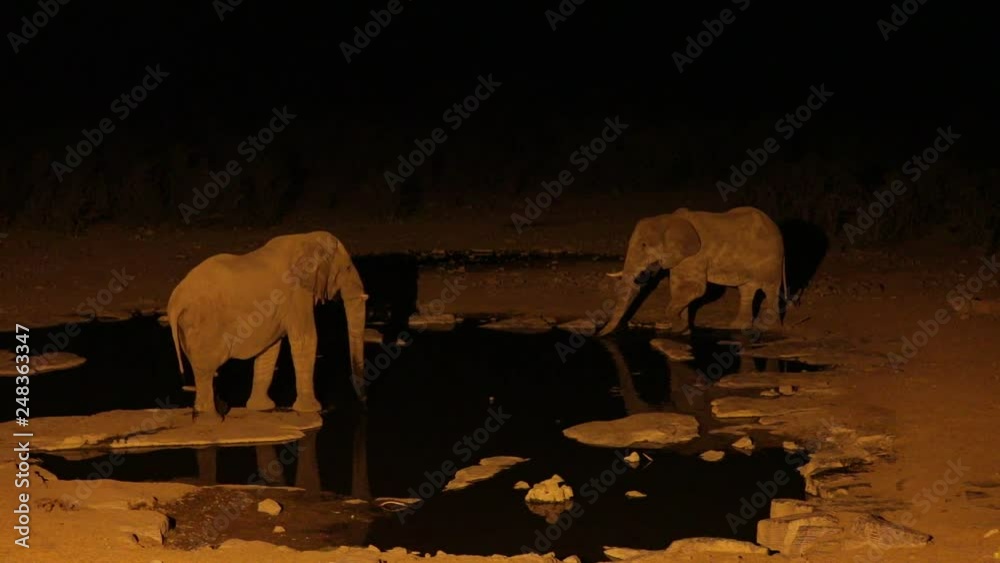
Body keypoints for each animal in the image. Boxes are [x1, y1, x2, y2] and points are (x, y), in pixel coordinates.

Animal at [167, 231, 368, 422]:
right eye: (347, 268)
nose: (363, 401)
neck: (305, 239)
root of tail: (175, 301)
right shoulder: (295, 295)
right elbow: (305, 340)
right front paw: (312, 410)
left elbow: (270, 347)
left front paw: (261, 408)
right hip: (203, 324)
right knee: (207, 369)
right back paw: (211, 420)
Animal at [597, 207, 786, 336]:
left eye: (643, 245)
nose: (599, 334)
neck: (669, 220)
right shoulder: (680, 259)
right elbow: (678, 288)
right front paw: (682, 330)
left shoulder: (696, 255)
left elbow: (695, 289)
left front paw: (678, 328)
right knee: (746, 290)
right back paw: (737, 327)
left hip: (772, 259)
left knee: (770, 289)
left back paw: (772, 330)